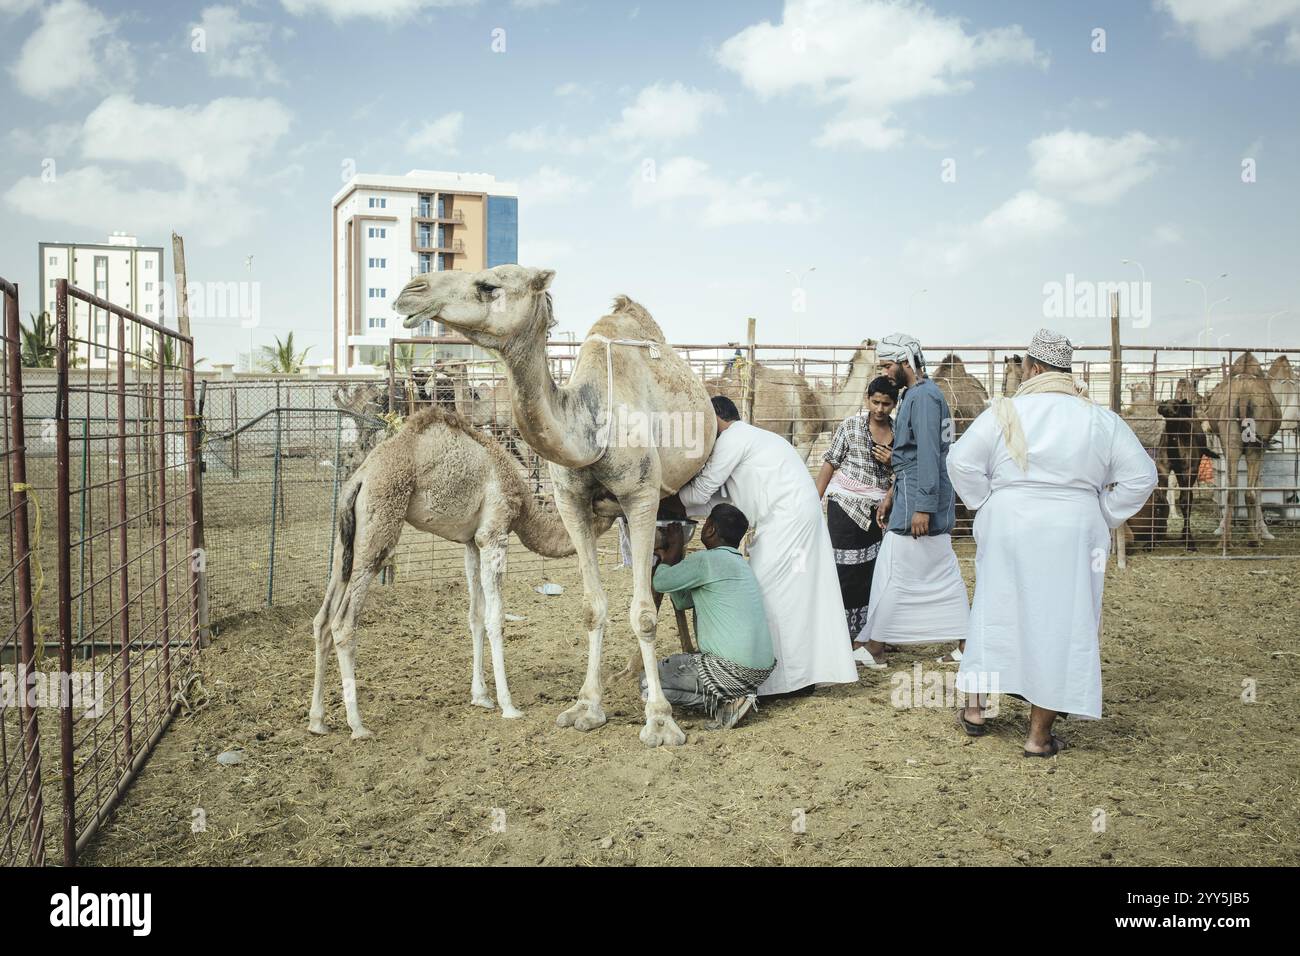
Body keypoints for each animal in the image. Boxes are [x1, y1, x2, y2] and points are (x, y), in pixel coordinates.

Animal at [309, 404, 609, 739]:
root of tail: (359, 479)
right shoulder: (494, 534)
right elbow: (495, 618)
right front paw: (508, 706)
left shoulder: (471, 543)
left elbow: (475, 615)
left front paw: (481, 696)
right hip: (379, 527)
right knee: (343, 622)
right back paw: (358, 725)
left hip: (347, 541)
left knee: (323, 618)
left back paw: (318, 721)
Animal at [394, 264, 716, 748]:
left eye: (489, 286)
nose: (410, 291)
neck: (590, 426)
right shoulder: (572, 502)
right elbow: (592, 606)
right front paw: (586, 707)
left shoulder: (641, 496)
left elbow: (641, 612)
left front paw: (660, 722)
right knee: (661, 574)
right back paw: (633, 670)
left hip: (674, 496)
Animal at [1204, 352, 1281, 546]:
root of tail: (1245, 397)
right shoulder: (1262, 449)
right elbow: (1258, 486)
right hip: (1255, 446)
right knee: (1250, 491)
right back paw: (1254, 538)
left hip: (1232, 440)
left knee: (1232, 490)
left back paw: (1226, 540)